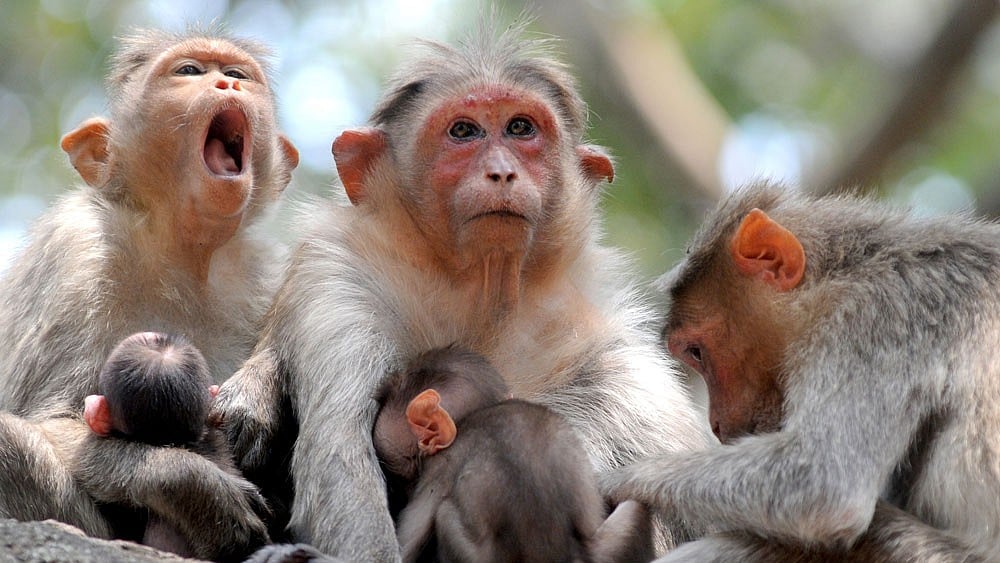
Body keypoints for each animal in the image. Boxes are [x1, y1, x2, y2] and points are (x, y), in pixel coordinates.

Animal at [0, 27, 298, 560]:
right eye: (189, 72)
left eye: (237, 73)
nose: (226, 84)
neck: (184, 253)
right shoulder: (76, 251)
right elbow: (53, 420)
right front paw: (193, 484)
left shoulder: (265, 267)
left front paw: (256, 392)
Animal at [601, 181, 997, 561]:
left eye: (695, 352)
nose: (714, 423)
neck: (850, 273)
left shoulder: (873, 319)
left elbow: (822, 482)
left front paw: (614, 479)